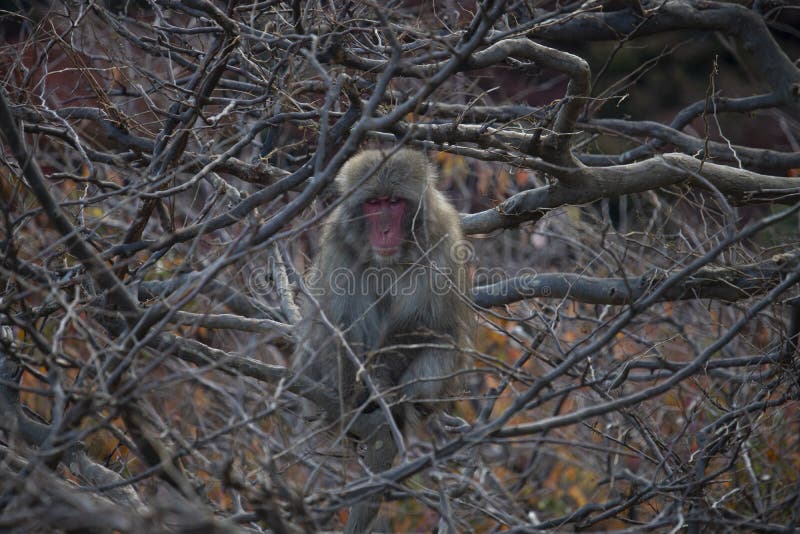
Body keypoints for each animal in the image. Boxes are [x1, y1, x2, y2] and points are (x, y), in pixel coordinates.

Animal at [292, 148, 473, 532]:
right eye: (374, 203)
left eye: (394, 203)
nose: (385, 230)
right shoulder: (339, 245)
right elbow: (336, 323)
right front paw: (353, 393)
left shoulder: (441, 241)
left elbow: (424, 324)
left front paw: (382, 388)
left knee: (441, 344)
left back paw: (403, 407)